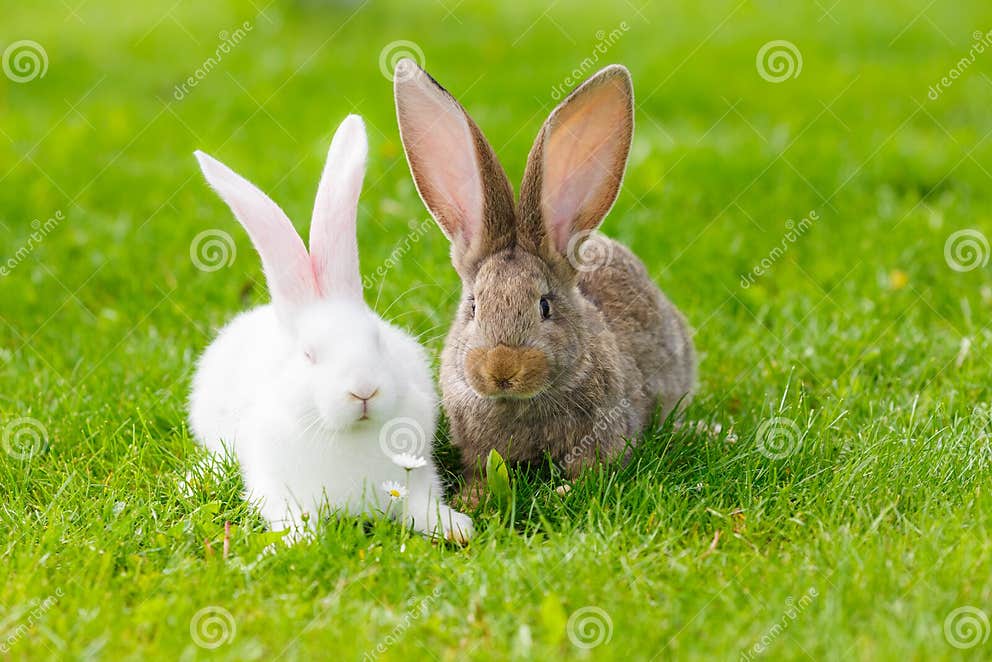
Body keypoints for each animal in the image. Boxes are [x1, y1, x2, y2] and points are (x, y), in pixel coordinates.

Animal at [188, 115, 473, 543]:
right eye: (309, 355)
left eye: (378, 340)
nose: (363, 390)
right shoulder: (276, 488)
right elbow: (292, 516)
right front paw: (298, 541)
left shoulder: (417, 475)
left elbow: (422, 505)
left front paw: (456, 528)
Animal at [393, 60, 696, 490]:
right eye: (474, 307)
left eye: (545, 306)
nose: (502, 369)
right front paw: (473, 497)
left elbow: (592, 469)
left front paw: (566, 490)